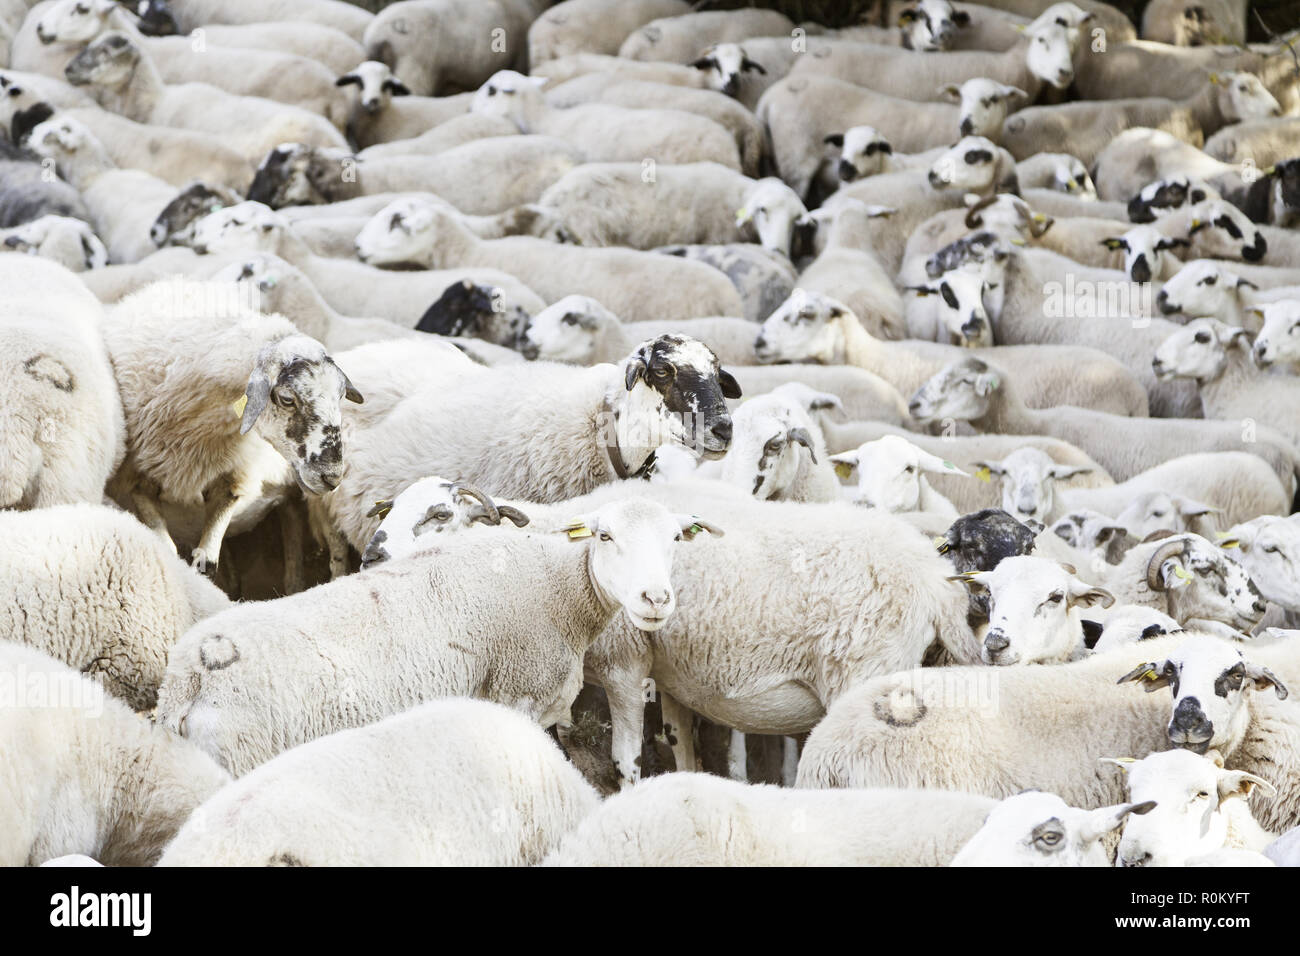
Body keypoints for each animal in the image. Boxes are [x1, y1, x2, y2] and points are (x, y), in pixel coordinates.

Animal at [101, 280, 364, 573]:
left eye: (340, 397)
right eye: (287, 399)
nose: (333, 478)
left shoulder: (231, 479)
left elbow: (208, 557)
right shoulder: (138, 478)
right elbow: (168, 546)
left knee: (329, 544)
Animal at [155, 496, 718, 774]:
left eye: (675, 539)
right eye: (605, 536)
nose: (655, 599)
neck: (558, 586)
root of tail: (187, 677)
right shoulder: (517, 698)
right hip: (239, 758)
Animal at [525, 161, 811, 258]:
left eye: (796, 219)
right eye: (762, 210)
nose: (778, 251)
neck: (736, 197)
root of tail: (554, 192)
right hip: (591, 231)